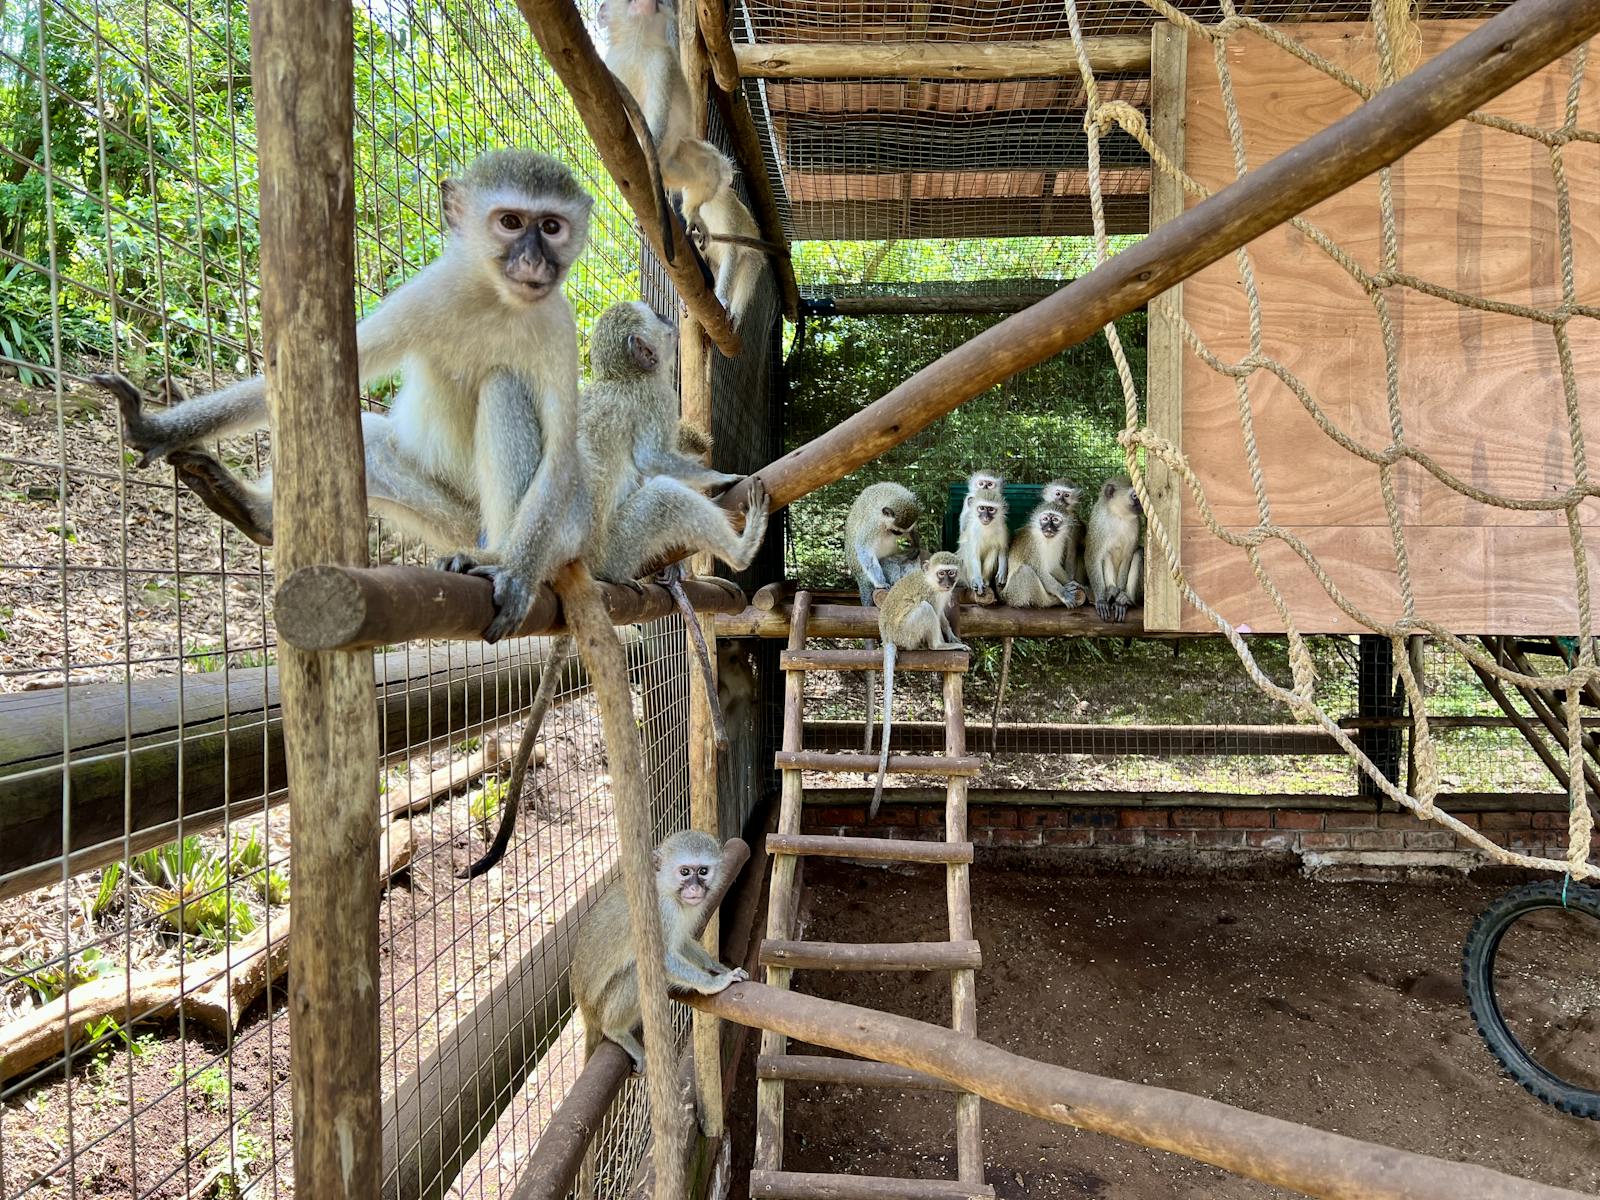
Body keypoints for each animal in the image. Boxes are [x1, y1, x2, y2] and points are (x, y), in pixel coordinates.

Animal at [97, 150, 593, 644]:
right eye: (510, 222)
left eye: (551, 227)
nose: (533, 263)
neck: (497, 300)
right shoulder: (424, 294)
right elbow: (300, 375)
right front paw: (155, 428)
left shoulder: (559, 328)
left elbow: (561, 458)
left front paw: (516, 574)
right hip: (452, 517)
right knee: (374, 444)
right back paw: (256, 512)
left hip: (510, 528)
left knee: (504, 386)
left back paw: (499, 557)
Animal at [571, 829, 747, 1071]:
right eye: (685, 872)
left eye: (703, 871)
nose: (695, 889)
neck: (666, 889)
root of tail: (586, 1010)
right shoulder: (664, 911)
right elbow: (662, 958)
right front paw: (715, 983)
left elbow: (681, 942)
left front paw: (718, 967)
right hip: (601, 1005)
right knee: (638, 970)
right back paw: (615, 1030)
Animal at [844, 480, 923, 754]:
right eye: (896, 530)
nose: (900, 536)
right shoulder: (873, 524)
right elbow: (864, 548)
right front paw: (882, 582)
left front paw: (916, 542)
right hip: (863, 570)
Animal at [871, 552, 967, 817]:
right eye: (941, 573)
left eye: (951, 573)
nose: (948, 582)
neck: (933, 583)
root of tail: (888, 636)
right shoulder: (932, 594)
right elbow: (933, 610)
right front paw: (947, 641)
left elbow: (943, 617)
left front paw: (952, 634)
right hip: (907, 631)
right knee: (924, 610)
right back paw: (937, 646)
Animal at [1085, 475, 1145, 623]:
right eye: (1135, 496)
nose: (1142, 506)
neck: (1119, 515)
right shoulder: (1098, 523)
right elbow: (1092, 557)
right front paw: (1101, 600)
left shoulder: (1136, 524)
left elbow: (1128, 557)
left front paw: (1120, 601)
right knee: (1106, 555)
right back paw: (1111, 589)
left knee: (1138, 553)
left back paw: (1126, 598)